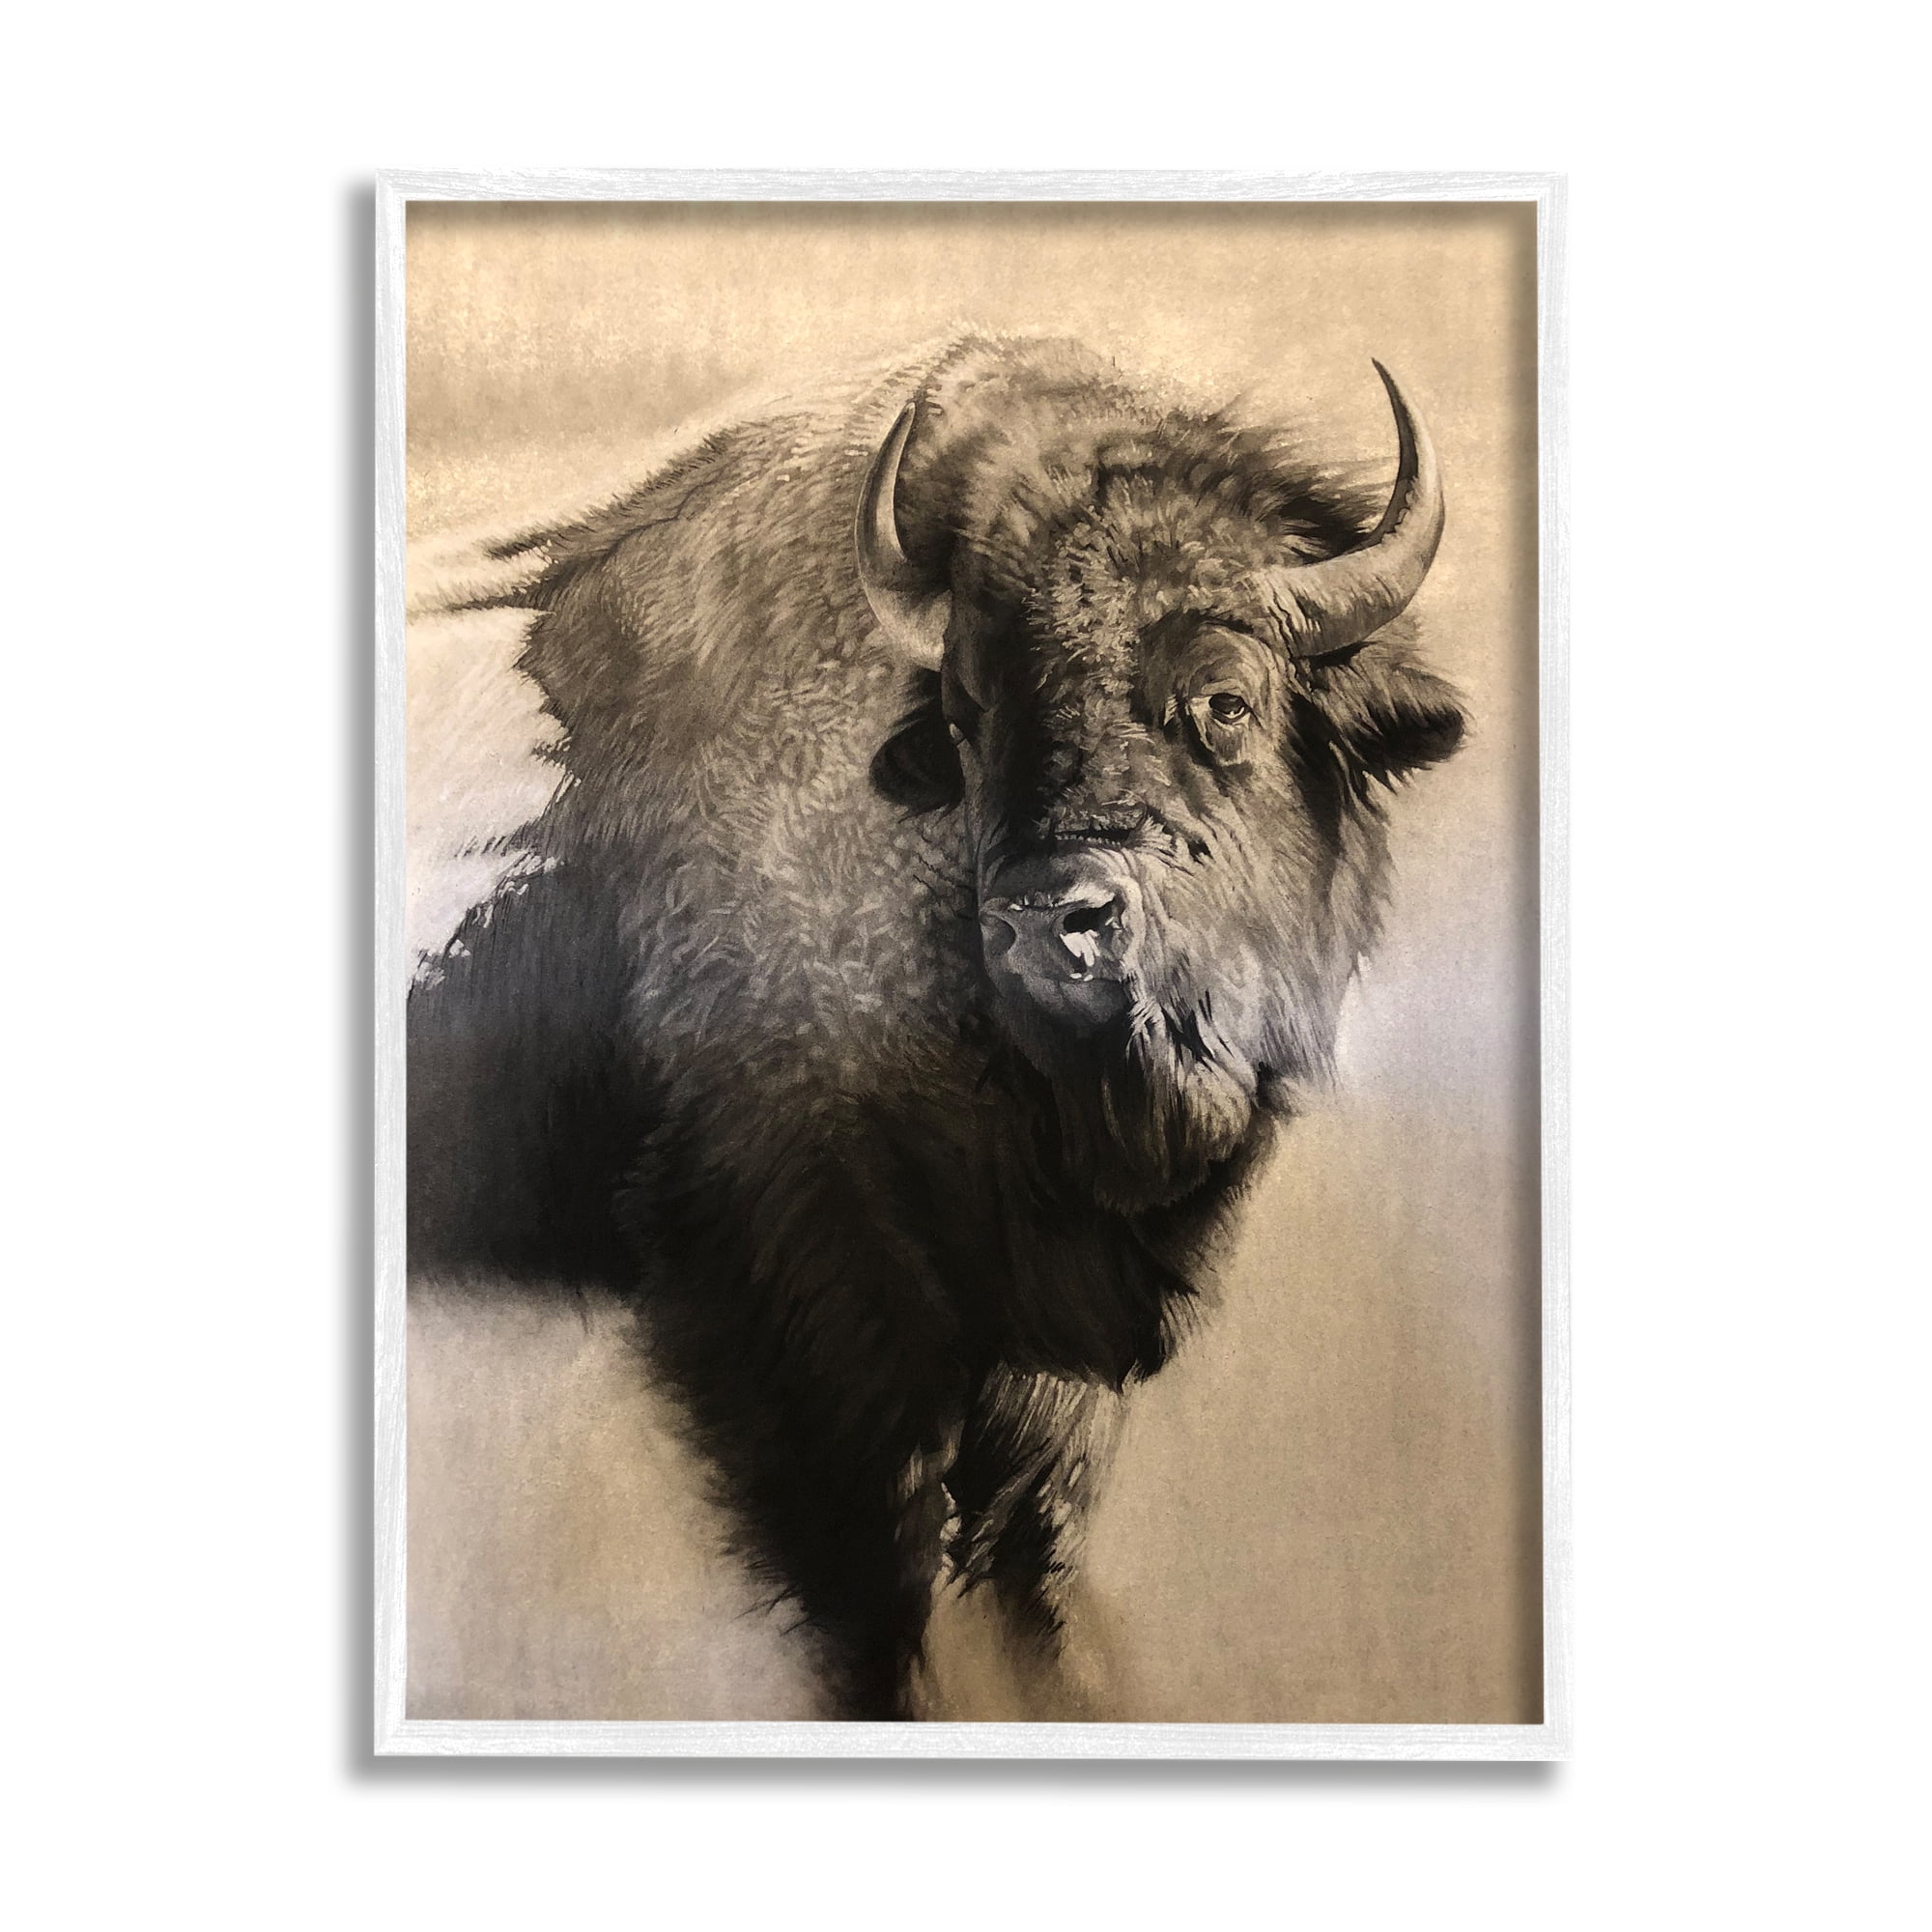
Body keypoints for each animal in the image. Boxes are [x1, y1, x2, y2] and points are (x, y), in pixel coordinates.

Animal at [407, 332, 1465, 1719]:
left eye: (1225, 700)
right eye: (966, 714)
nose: (1047, 919)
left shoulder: (1051, 1309)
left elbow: (1026, 1515)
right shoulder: (809, 1260)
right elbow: (885, 1546)